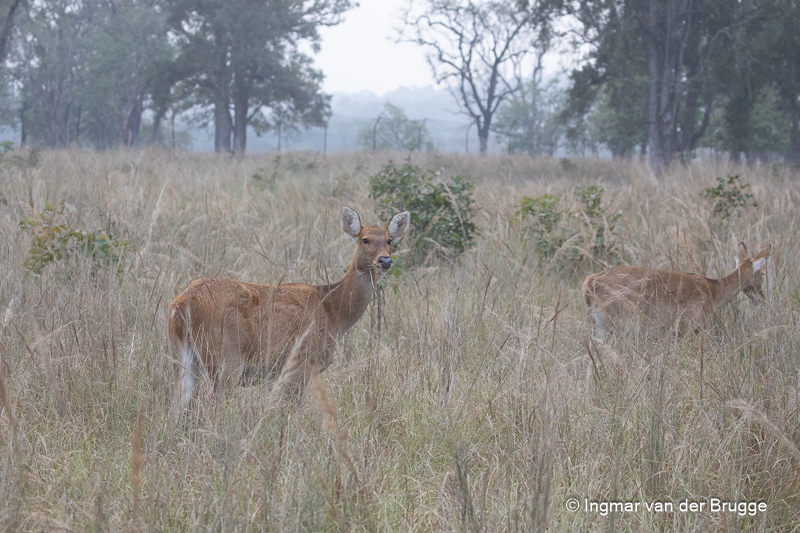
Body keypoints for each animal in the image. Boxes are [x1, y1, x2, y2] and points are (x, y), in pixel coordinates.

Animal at [167, 206, 410, 414]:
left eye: (389, 240)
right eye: (365, 239)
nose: (385, 260)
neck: (333, 311)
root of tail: (181, 304)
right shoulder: (302, 361)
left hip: (182, 358)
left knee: (176, 408)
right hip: (225, 357)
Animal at [583, 242, 770, 339]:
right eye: (762, 273)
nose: (761, 298)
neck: (714, 291)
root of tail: (590, 281)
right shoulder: (694, 326)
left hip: (601, 325)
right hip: (626, 324)